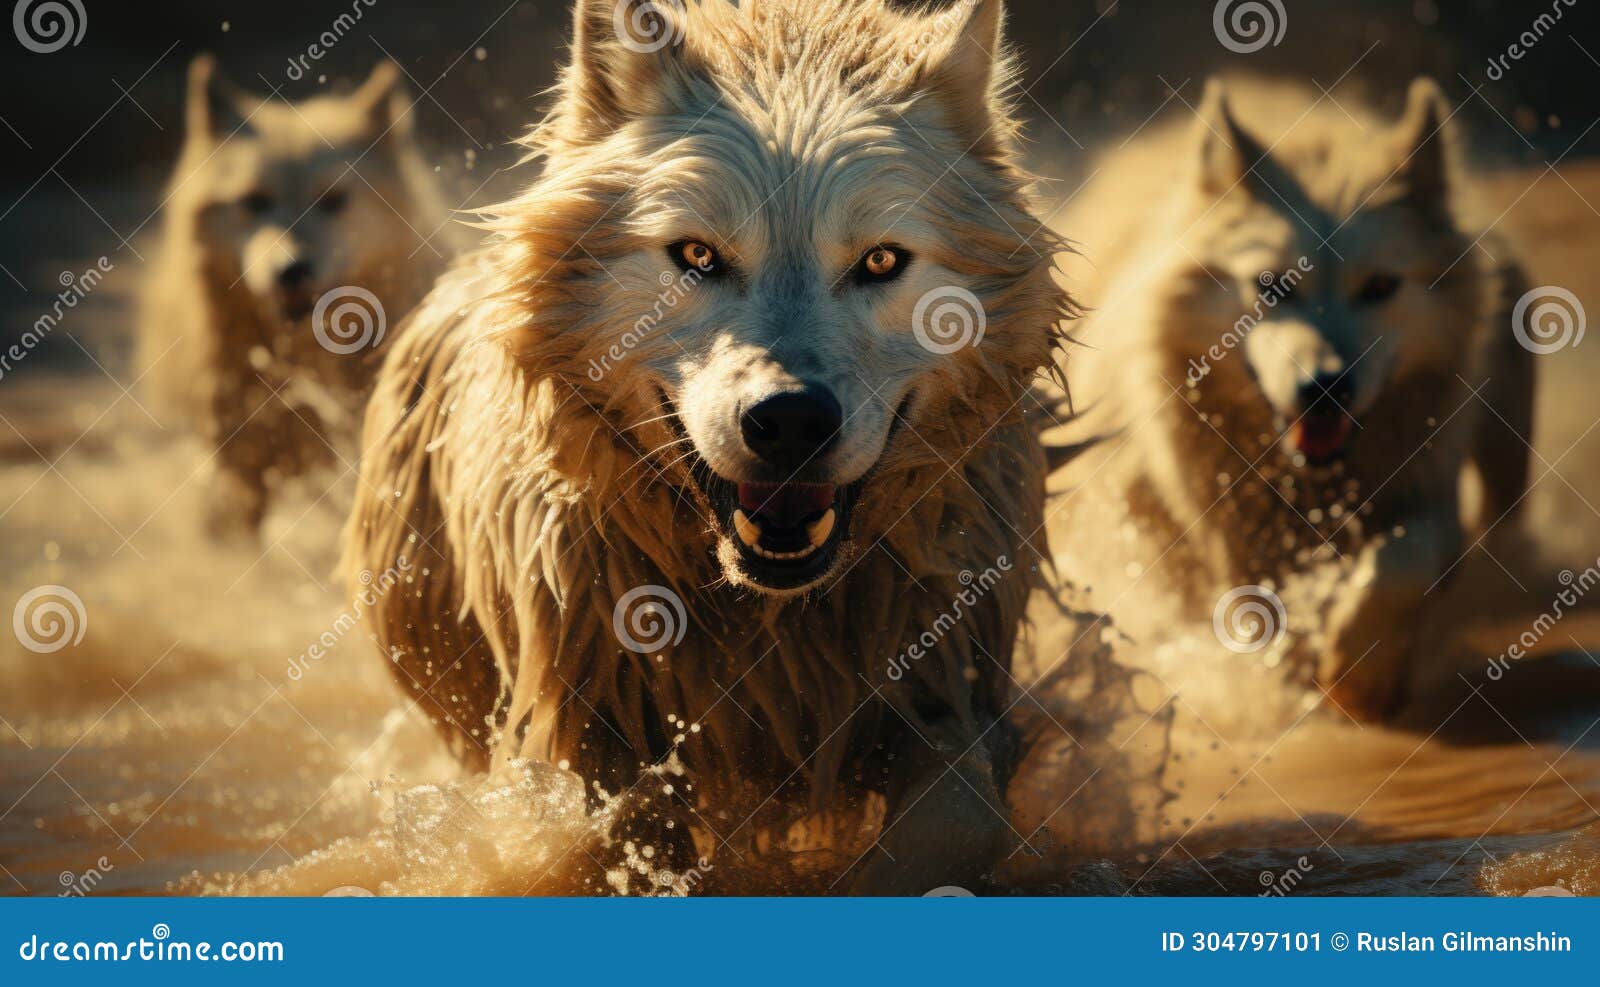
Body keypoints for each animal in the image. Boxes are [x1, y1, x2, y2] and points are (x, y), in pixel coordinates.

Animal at [343, 0, 1073, 894]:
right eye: (697, 255)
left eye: (880, 261)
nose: (790, 420)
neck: (771, 622)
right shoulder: (590, 743)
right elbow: (618, 850)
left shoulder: (948, 681)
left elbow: (962, 823)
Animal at [1042, 78, 1535, 720]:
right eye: (1272, 286)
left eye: (1380, 286)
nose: (1325, 387)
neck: (1307, 485)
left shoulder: (1429, 497)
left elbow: (1402, 561)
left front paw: (1359, 674)